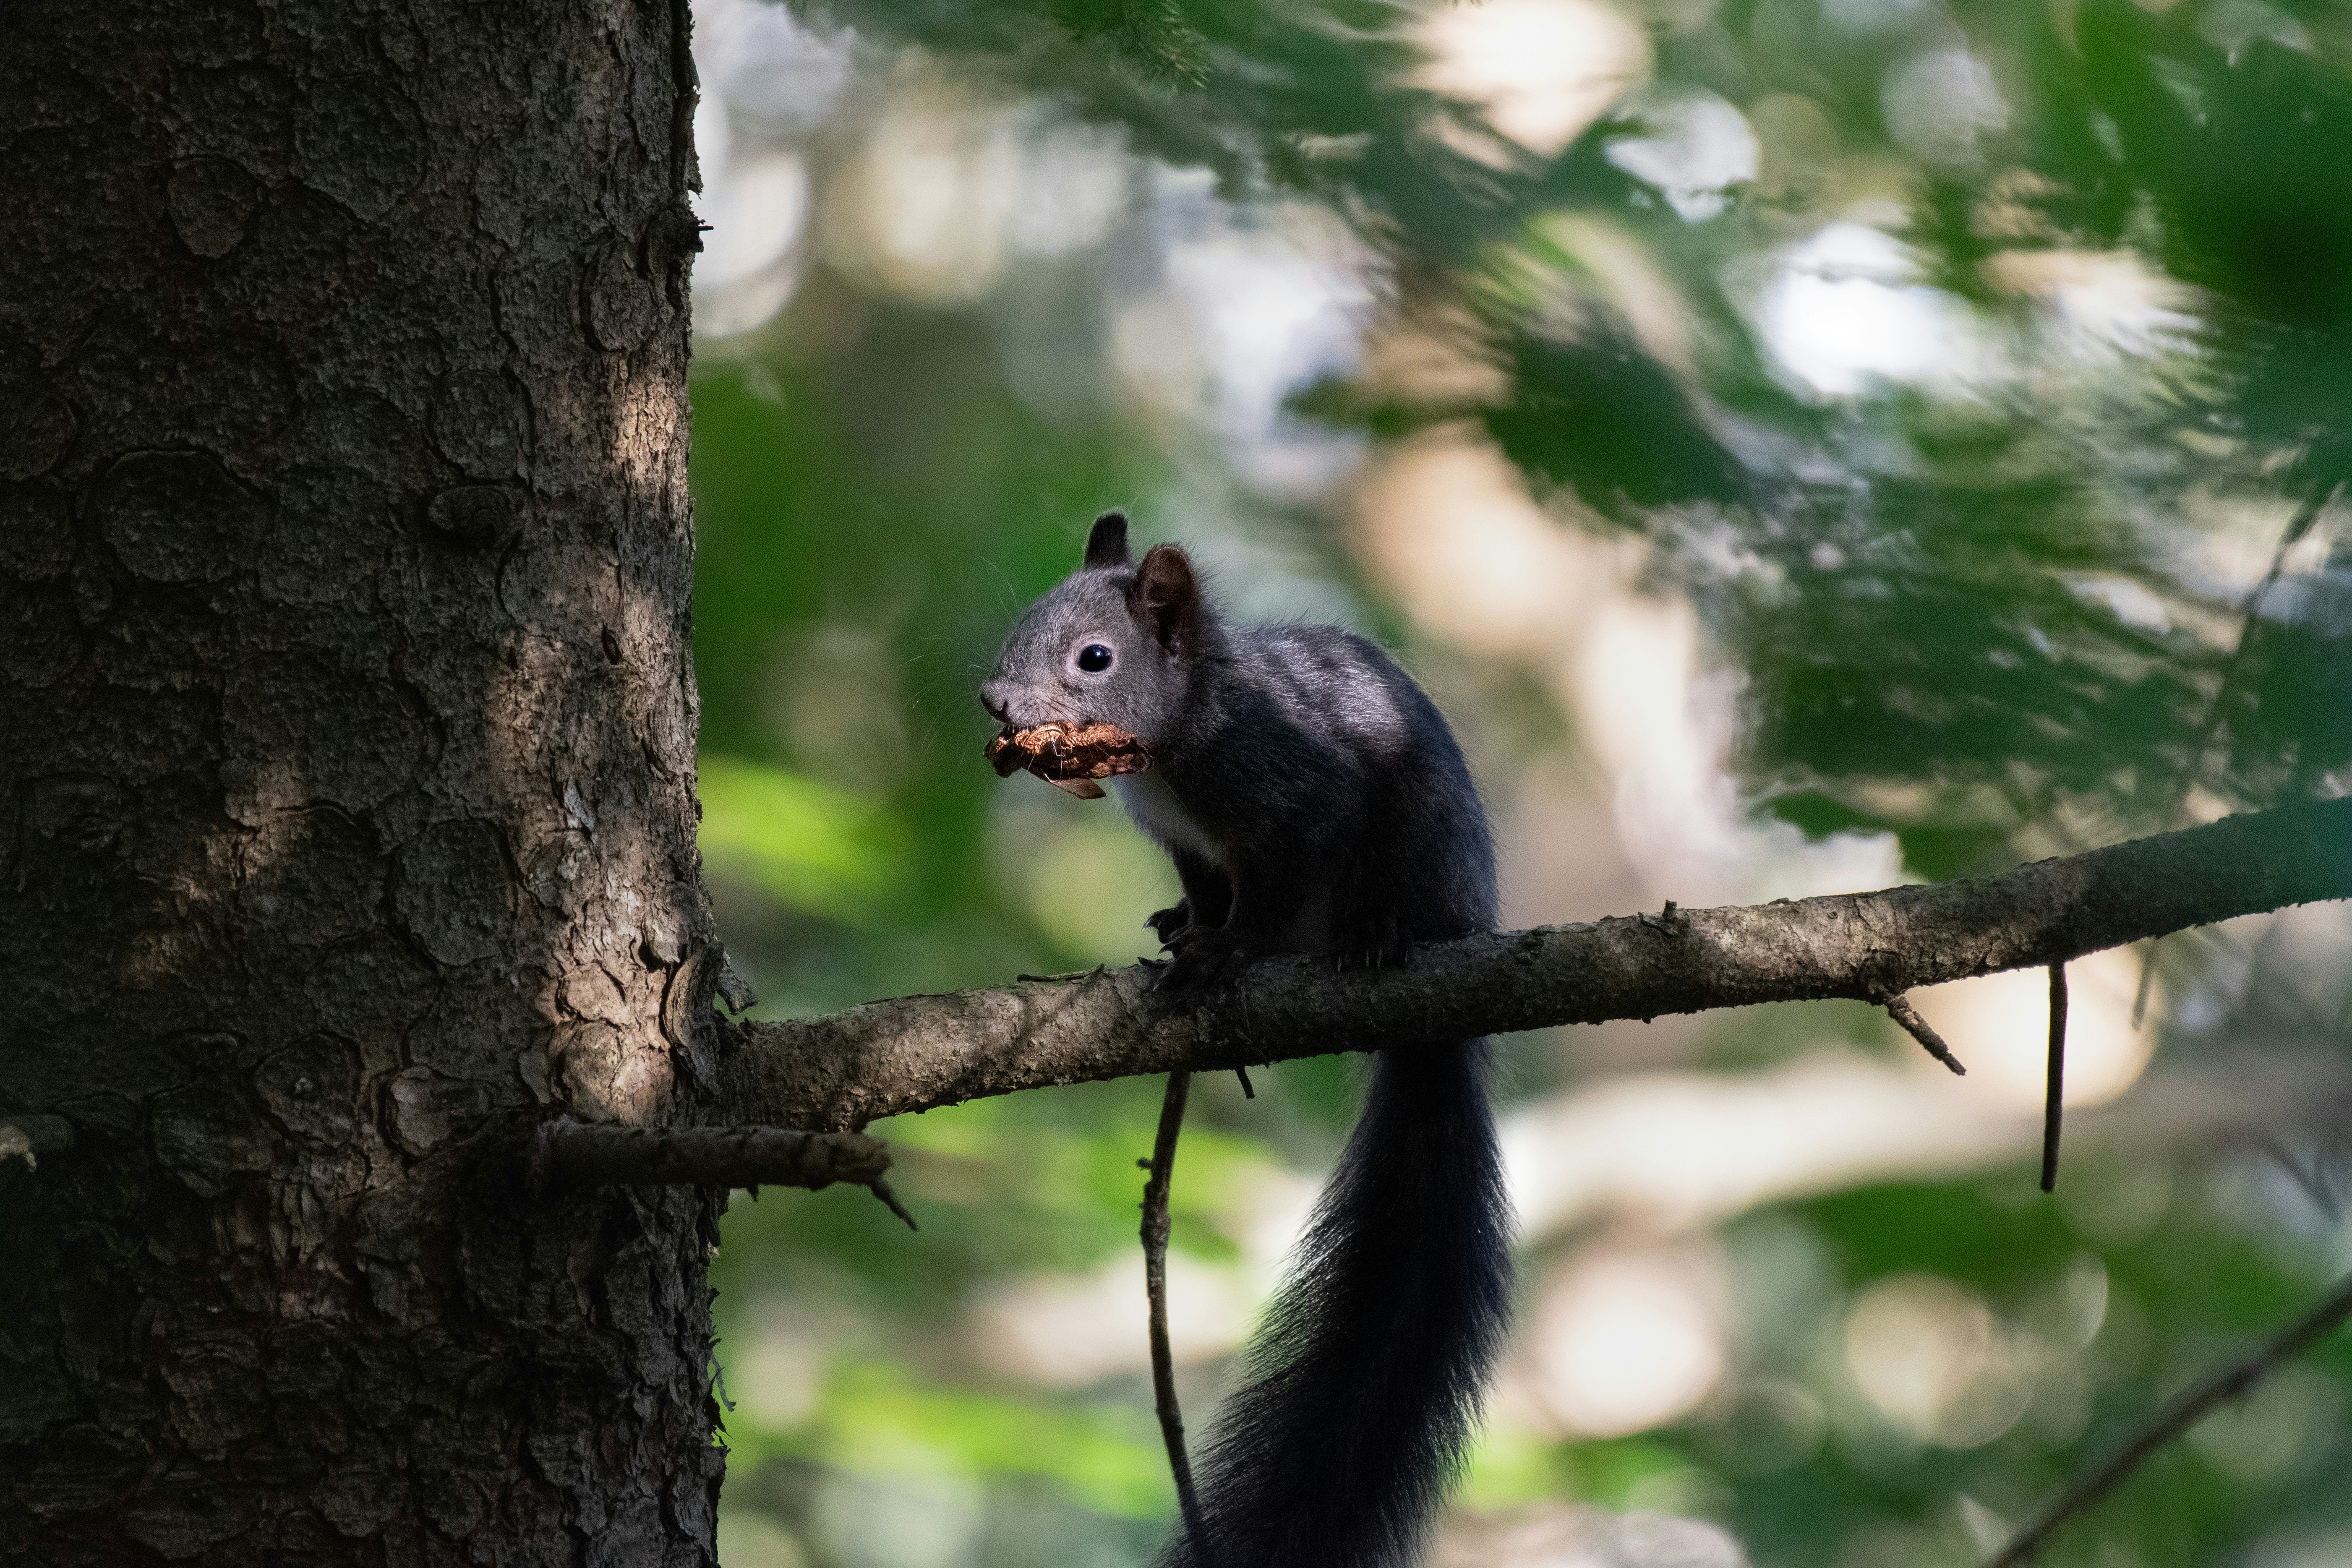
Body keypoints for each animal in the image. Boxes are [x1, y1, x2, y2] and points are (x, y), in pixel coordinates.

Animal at [981, 512, 1513, 1568]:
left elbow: (1269, 892)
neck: (1177, 744)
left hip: (1418, 853)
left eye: (1094, 657)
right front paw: (1188, 926)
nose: (997, 700)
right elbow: (1206, 888)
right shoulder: (1183, 842)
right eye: (1023, 622)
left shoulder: (1293, 793)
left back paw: (1377, 935)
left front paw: (1223, 953)